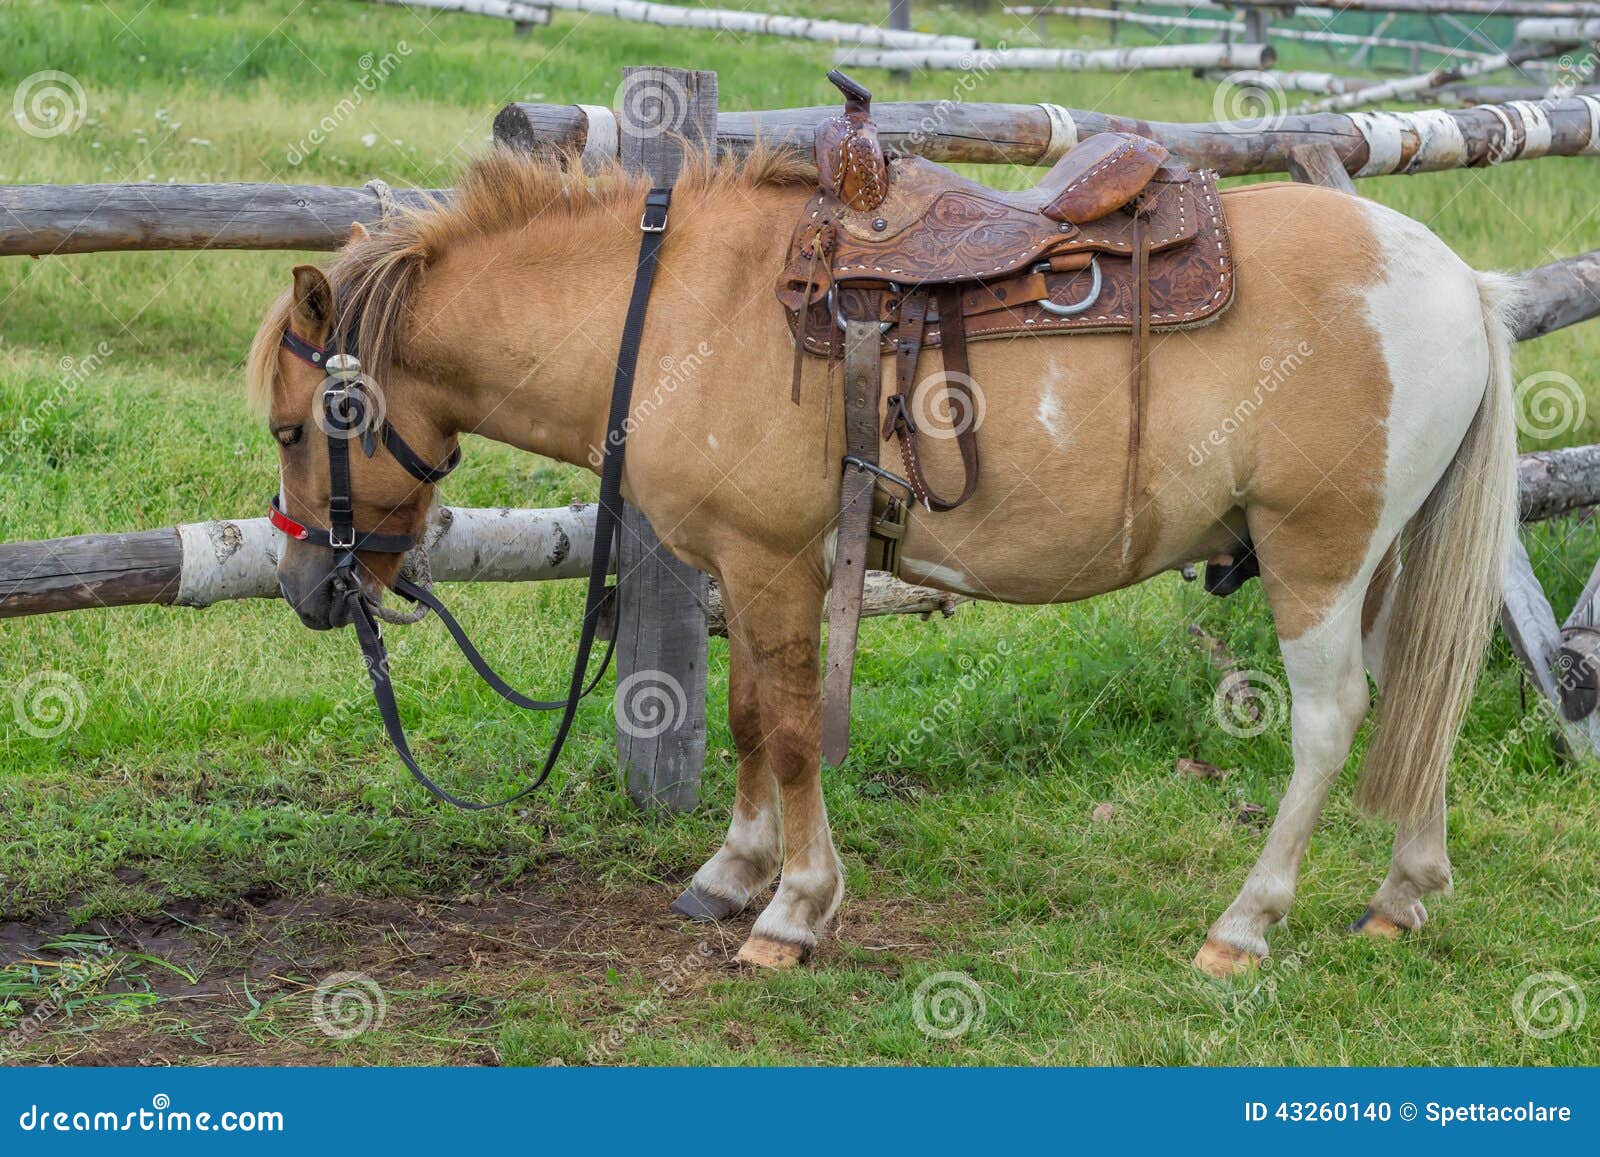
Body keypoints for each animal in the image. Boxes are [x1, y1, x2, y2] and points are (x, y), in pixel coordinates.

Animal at [248, 146, 1518, 977]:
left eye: (298, 425)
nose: (314, 589)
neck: (673, 311)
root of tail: (1460, 283)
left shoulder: (772, 561)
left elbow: (792, 727)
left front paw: (795, 909)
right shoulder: (746, 564)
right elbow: (749, 715)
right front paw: (734, 869)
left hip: (1318, 556)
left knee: (1331, 721)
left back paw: (1244, 924)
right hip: (1384, 558)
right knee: (1422, 693)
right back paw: (1401, 892)